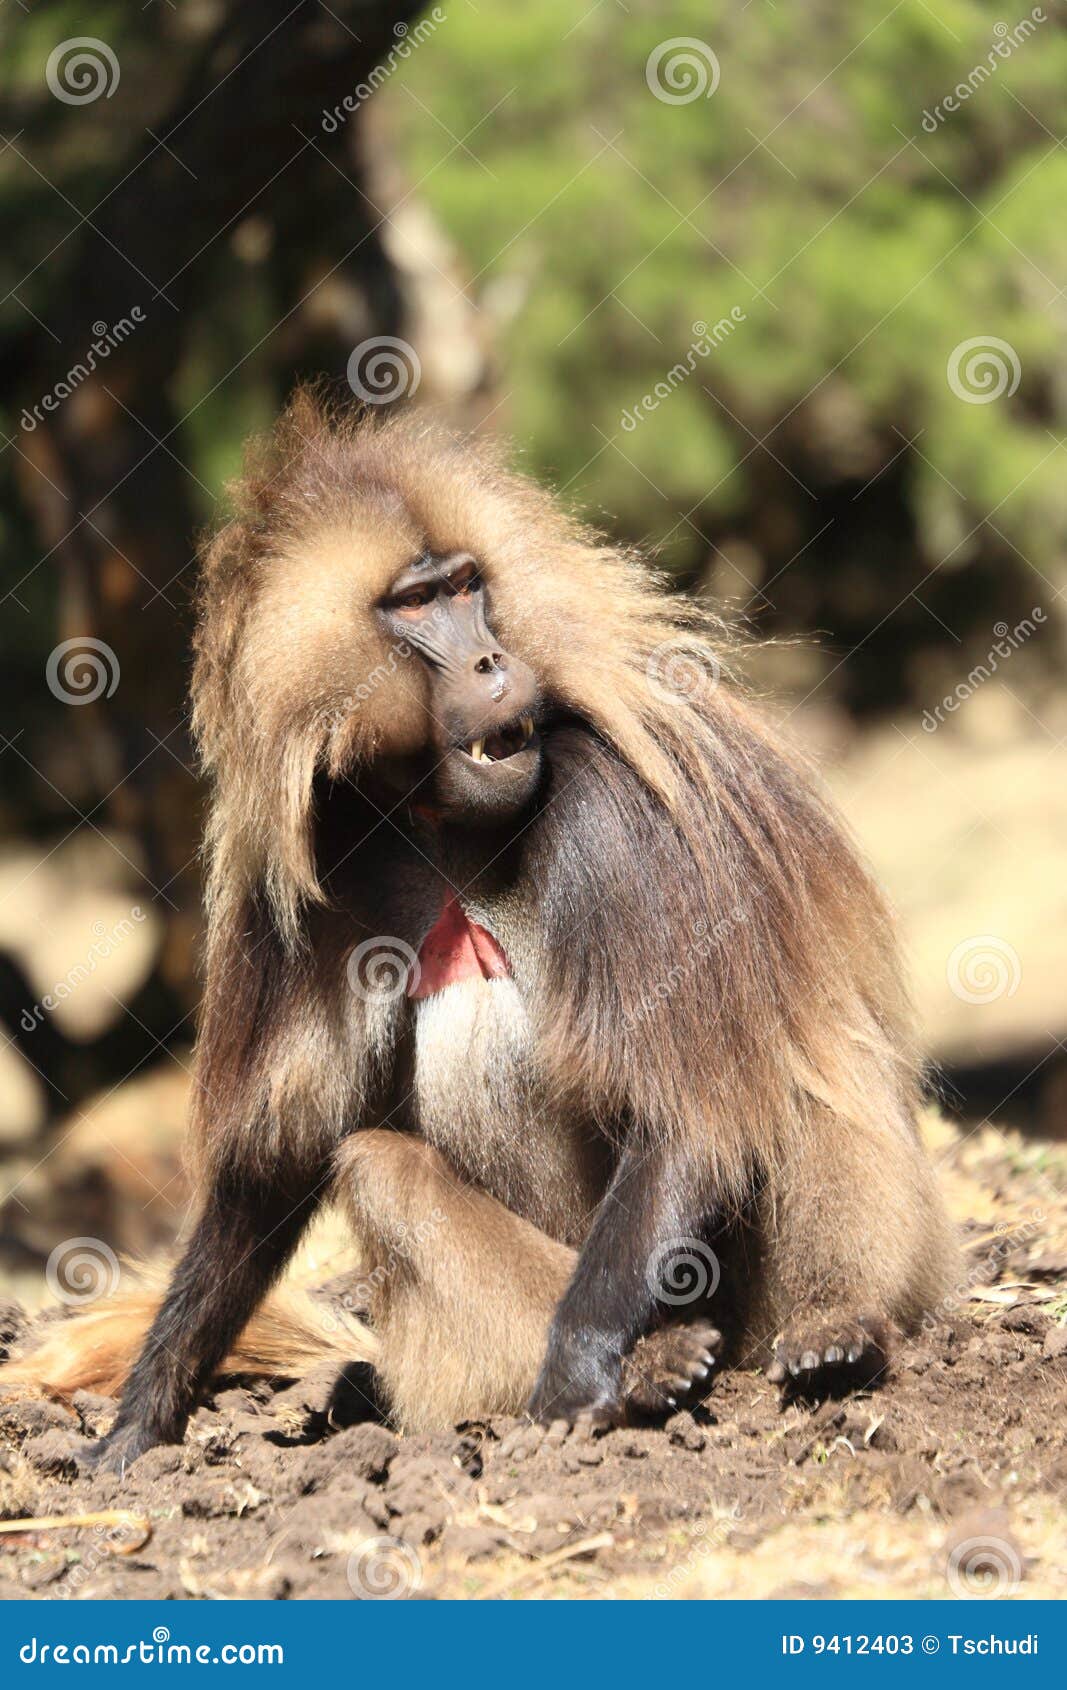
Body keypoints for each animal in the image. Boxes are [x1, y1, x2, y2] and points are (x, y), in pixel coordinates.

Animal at [5, 389, 956, 1469]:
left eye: (468, 587)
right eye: (415, 605)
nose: (493, 662)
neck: (438, 820)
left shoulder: (608, 808)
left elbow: (682, 1110)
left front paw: (577, 1373)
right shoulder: (313, 866)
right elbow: (274, 1167)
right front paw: (140, 1419)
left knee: (787, 1054)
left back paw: (827, 1328)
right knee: (381, 1166)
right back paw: (646, 1365)